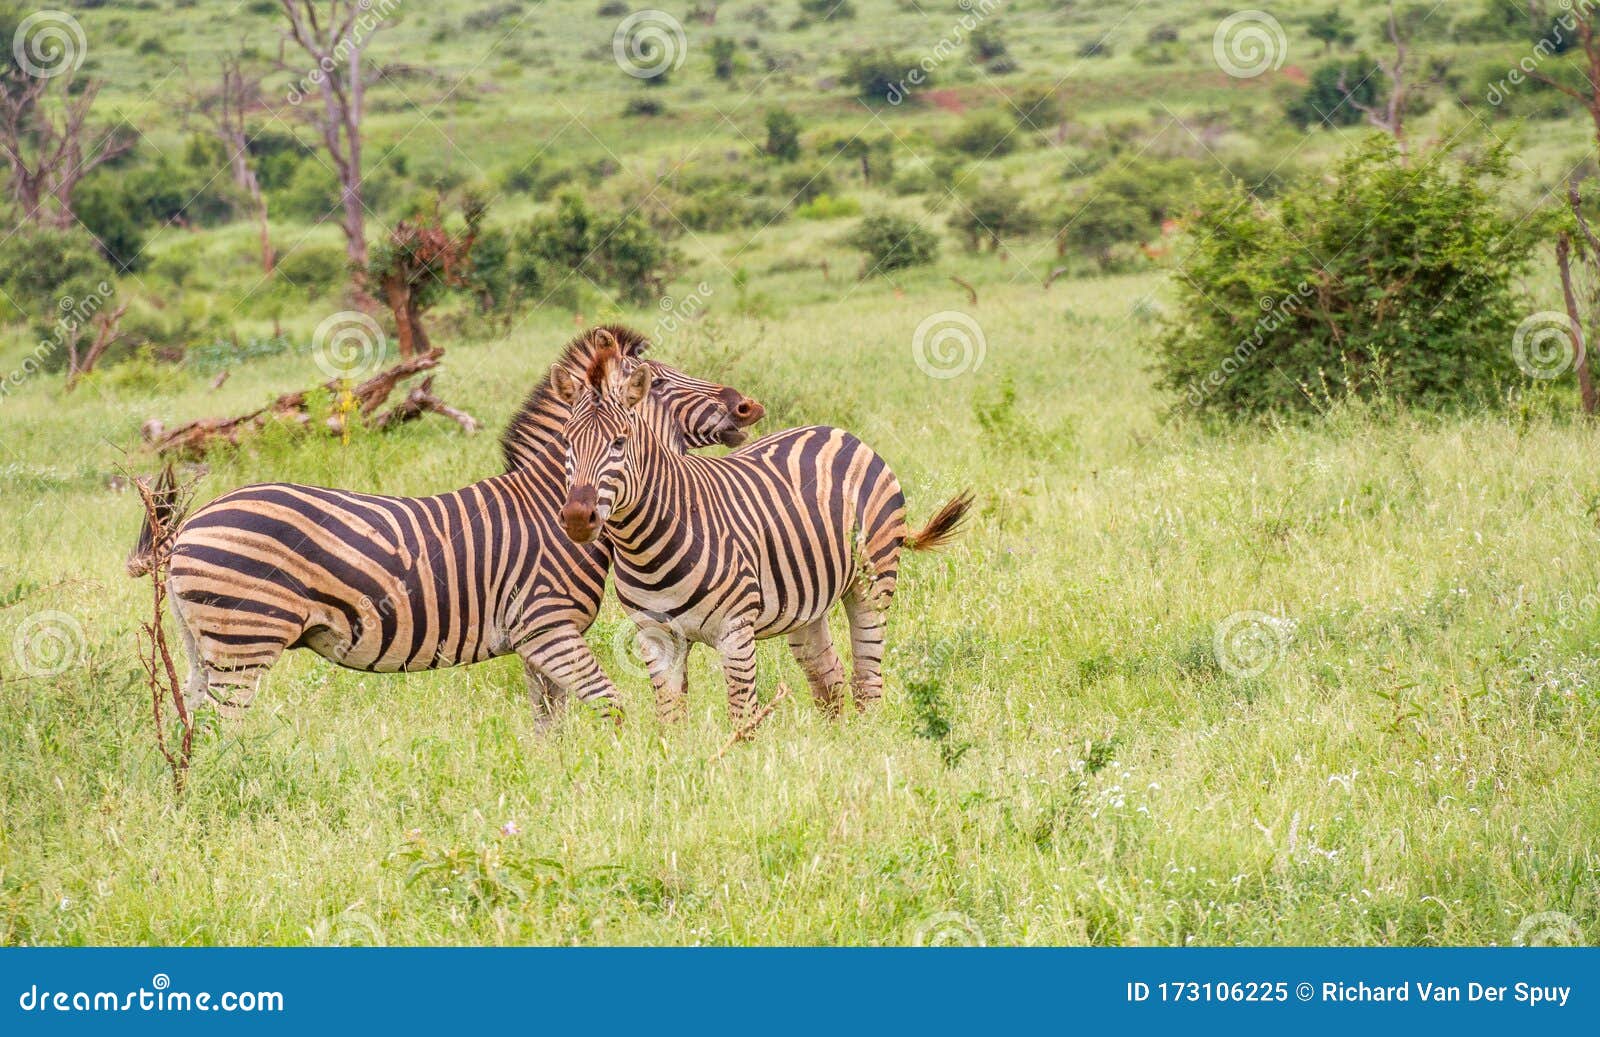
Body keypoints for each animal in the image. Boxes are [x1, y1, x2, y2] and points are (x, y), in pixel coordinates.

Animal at [126, 327, 764, 725]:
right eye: (659, 382)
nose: (747, 407)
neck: (552, 501)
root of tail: (190, 528)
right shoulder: (548, 626)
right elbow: (610, 706)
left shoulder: (534, 642)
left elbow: (549, 725)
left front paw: (556, 782)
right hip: (245, 639)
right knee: (226, 732)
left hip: (203, 644)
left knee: (194, 723)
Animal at [549, 342, 972, 723]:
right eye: (566, 442)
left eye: (619, 442)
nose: (577, 517)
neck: (644, 544)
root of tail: (840, 432)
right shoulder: (656, 638)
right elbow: (670, 721)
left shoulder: (736, 631)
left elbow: (743, 719)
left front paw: (735, 760)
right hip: (806, 601)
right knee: (828, 675)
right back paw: (836, 745)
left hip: (873, 582)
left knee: (866, 680)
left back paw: (865, 742)